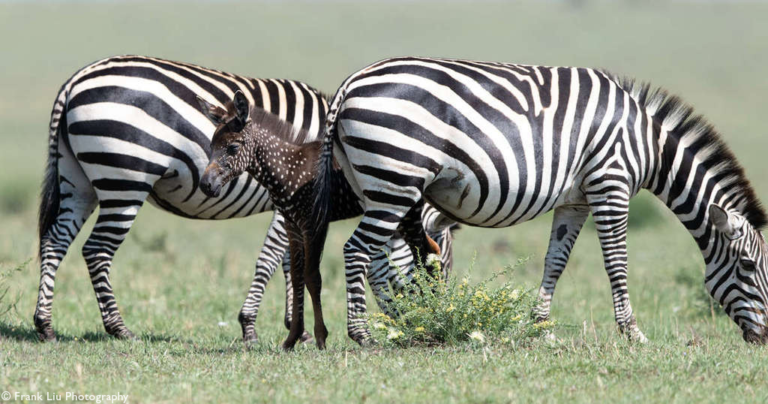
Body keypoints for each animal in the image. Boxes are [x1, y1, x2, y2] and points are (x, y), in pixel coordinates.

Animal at [36, 55, 454, 343]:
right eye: (441, 265)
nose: (431, 316)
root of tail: (76, 80)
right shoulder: (291, 203)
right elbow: (275, 260)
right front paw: (253, 327)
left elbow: (289, 262)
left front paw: (294, 327)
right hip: (124, 179)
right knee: (96, 250)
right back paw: (119, 328)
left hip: (79, 180)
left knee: (55, 242)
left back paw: (45, 325)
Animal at [312, 56, 768, 345]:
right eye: (748, 266)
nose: (763, 338)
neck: (647, 146)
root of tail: (350, 83)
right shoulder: (611, 184)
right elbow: (616, 262)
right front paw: (633, 333)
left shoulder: (575, 201)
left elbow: (555, 262)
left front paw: (540, 328)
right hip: (396, 181)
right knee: (356, 251)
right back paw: (364, 335)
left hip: (376, 185)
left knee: (376, 257)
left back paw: (398, 327)